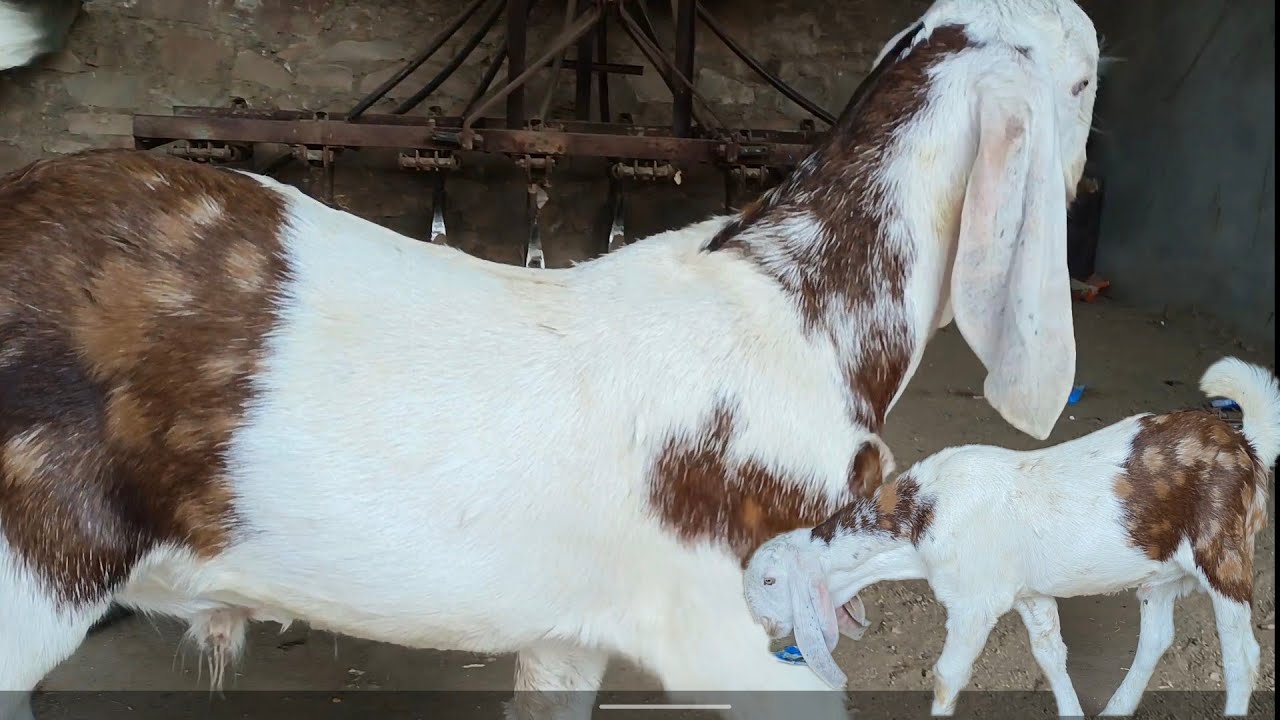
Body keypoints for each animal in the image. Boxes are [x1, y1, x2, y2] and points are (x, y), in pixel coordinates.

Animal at [744, 357, 1277, 717]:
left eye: (769, 581)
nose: (764, 628)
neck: (920, 519)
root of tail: (1245, 443)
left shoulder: (973, 603)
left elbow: (947, 676)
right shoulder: (1029, 594)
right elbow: (1052, 656)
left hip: (1224, 553)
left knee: (1242, 657)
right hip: (1160, 571)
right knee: (1156, 639)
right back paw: (1117, 708)